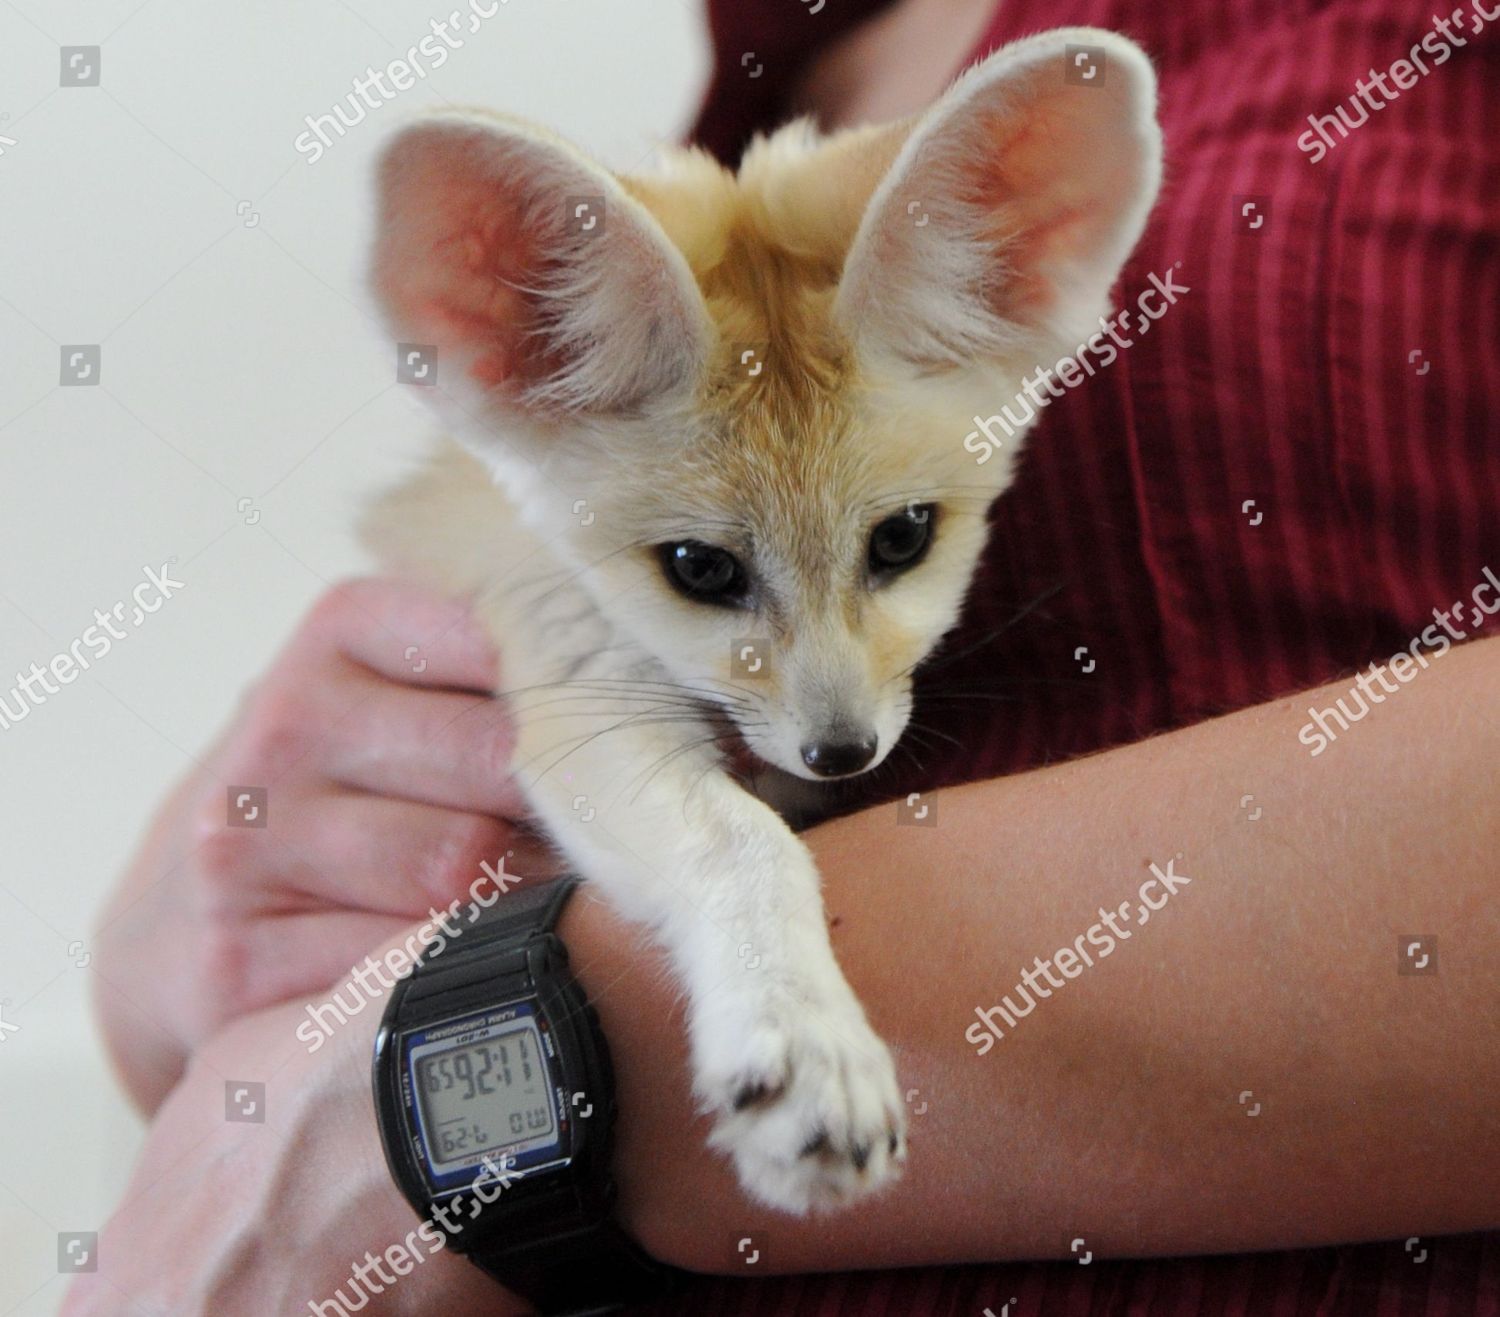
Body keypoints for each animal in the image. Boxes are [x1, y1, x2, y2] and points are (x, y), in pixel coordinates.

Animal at [362, 26, 1162, 1214]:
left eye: (902, 539)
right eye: (701, 569)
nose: (842, 752)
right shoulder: (573, 690)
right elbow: (744, 843)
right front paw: (804, 1042)